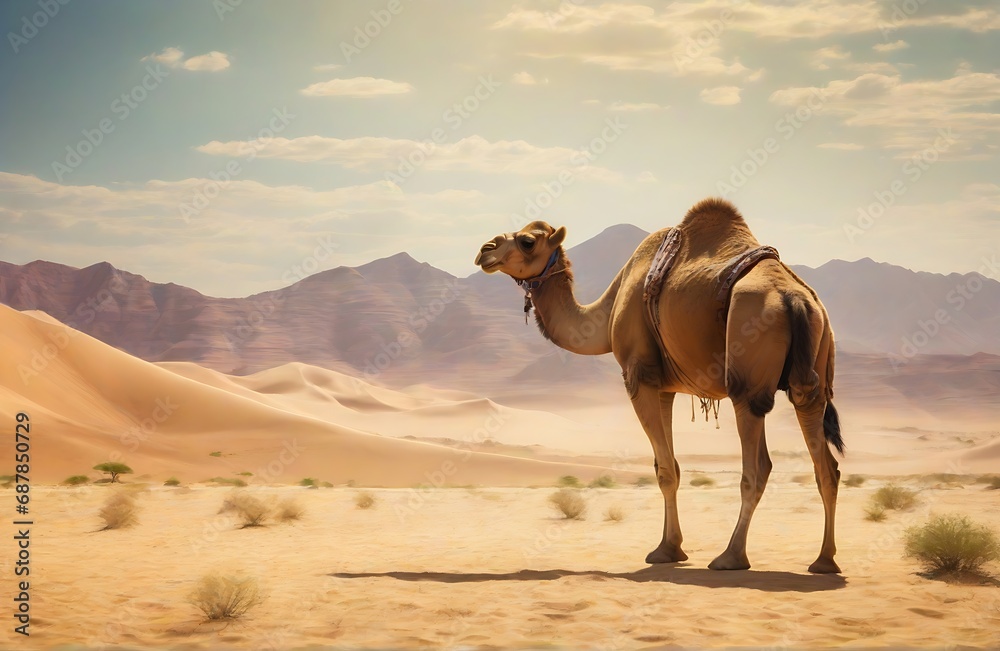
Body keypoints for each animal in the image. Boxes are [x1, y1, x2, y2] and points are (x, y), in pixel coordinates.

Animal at [474, 198, 844, 573]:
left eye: (527, 241)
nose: (485, 251)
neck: (608, 311)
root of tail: (795, 299)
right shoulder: (666, 387)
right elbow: (672, 468)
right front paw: (672, 547)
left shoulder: (640, 376)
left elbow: (665, 470)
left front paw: (664, 551)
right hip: (812, 377)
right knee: (824, 464)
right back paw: (824, 560)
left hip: (747, 383)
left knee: (756, 468)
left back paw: (731, 557)